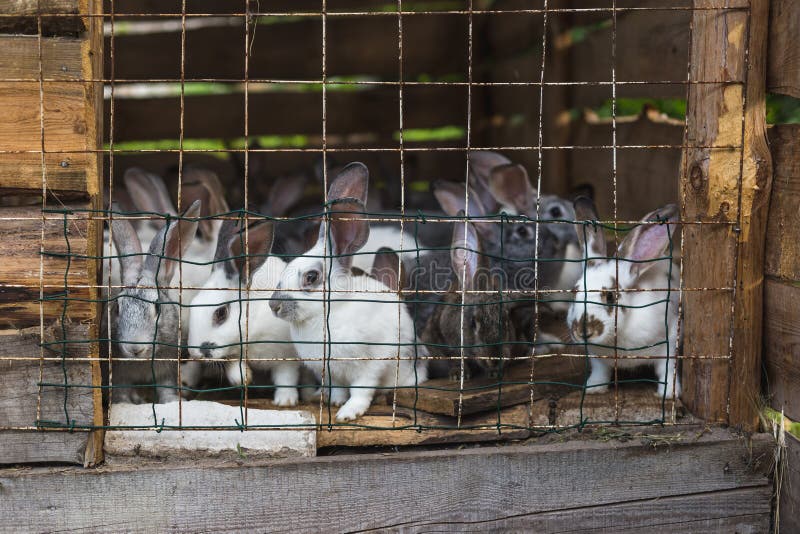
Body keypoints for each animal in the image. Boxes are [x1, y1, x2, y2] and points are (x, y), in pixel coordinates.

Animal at [110, 200, 201, 404]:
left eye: (158, 307)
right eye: (116, 308)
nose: (135, 349)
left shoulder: (167, 369)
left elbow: (166, 388)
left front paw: (172, 401)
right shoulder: (119, 375)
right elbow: (121, 392)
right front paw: (126, 403)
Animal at [185, 217, 303, 406]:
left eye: (221, 313)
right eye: (193, 304)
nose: (195, 354)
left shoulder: (287, 356)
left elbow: (286, 378)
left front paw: (285, 401)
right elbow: (233, 364)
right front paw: (242, 378)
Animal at [269, 162, 429, 422]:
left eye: (311, 277)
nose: (274, 306)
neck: (327, 314)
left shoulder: (372, 363)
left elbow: (361, 391)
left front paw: (347, 413)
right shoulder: (333, 373)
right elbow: (339, 388)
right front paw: (335, 402)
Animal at [566, 197, 681, 398]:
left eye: (611, 296)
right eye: (574, 292)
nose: (583, 331)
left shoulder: (669, 341)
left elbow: (666, 369)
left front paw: (668, 393)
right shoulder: (597, 359)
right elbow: (601, 372)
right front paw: (593, 388)